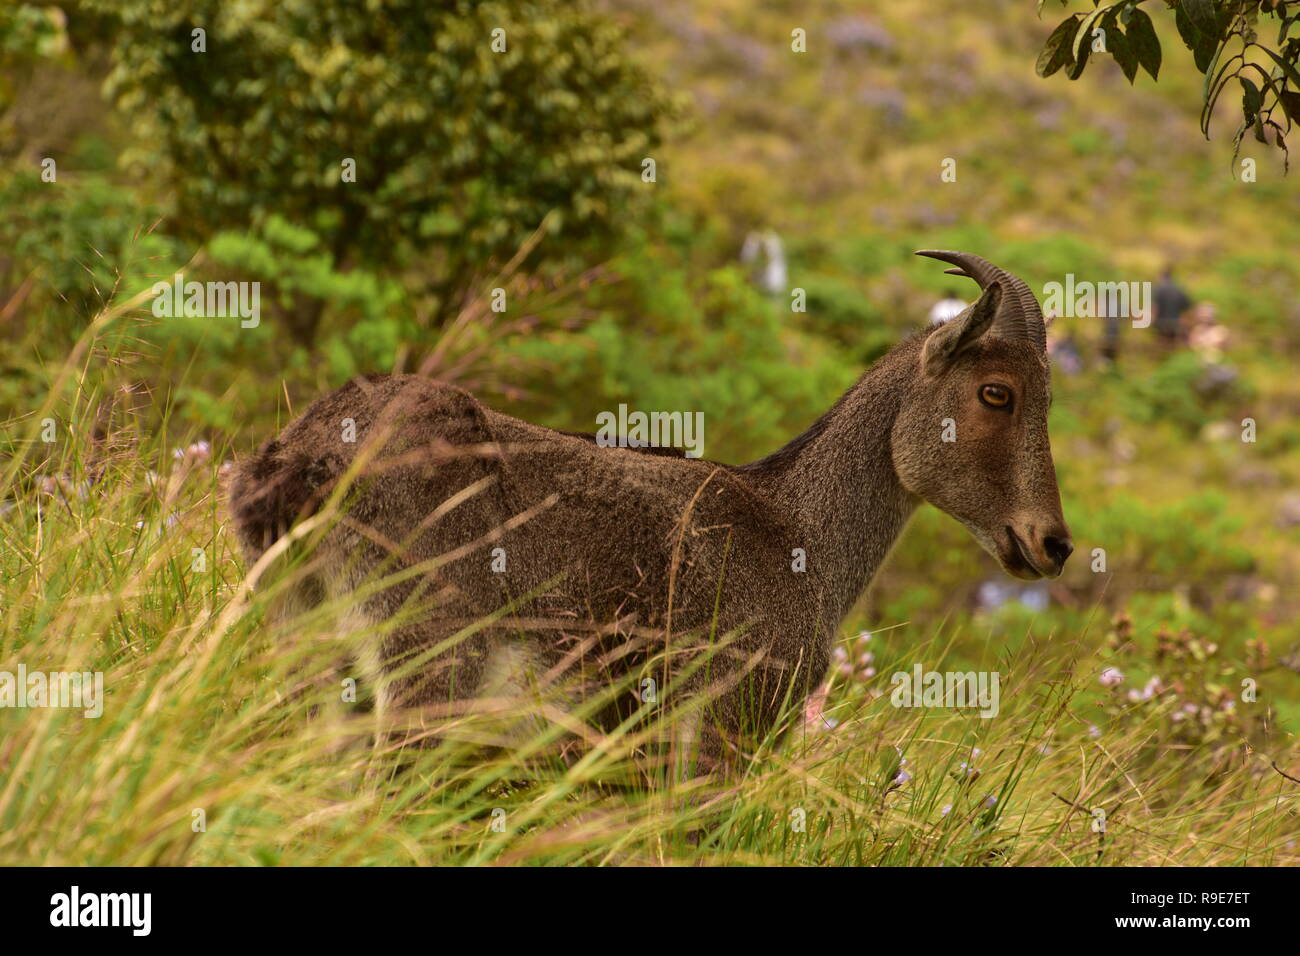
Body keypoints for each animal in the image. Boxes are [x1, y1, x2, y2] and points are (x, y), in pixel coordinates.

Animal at [227, 250, 1072, 776]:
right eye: (996, 392)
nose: (1051, 543)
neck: (800, 531)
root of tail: (310, 456)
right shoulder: (726, 726)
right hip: (426, 661)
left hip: (308, 650)